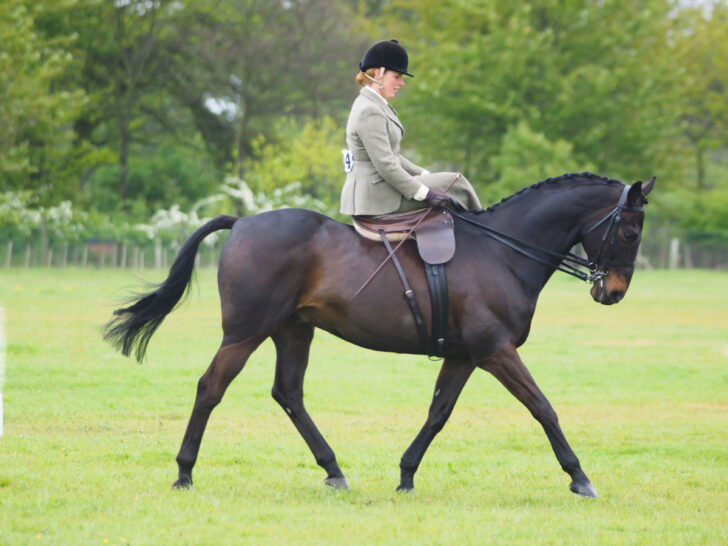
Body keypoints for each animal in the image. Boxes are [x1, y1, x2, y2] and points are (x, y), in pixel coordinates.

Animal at [104, 172, 655, 497]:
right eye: (630, 232)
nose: (614, 292)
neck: (504, 251)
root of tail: (242, 222)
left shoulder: (464, 355)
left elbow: (438, 413)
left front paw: (407, 474)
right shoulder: (494, 350)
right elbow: (542, 407)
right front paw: (579, 476)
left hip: (293, 331)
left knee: (288, 393)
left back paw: (332, 468)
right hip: (246, 332)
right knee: (210, 388)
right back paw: (184, 471)